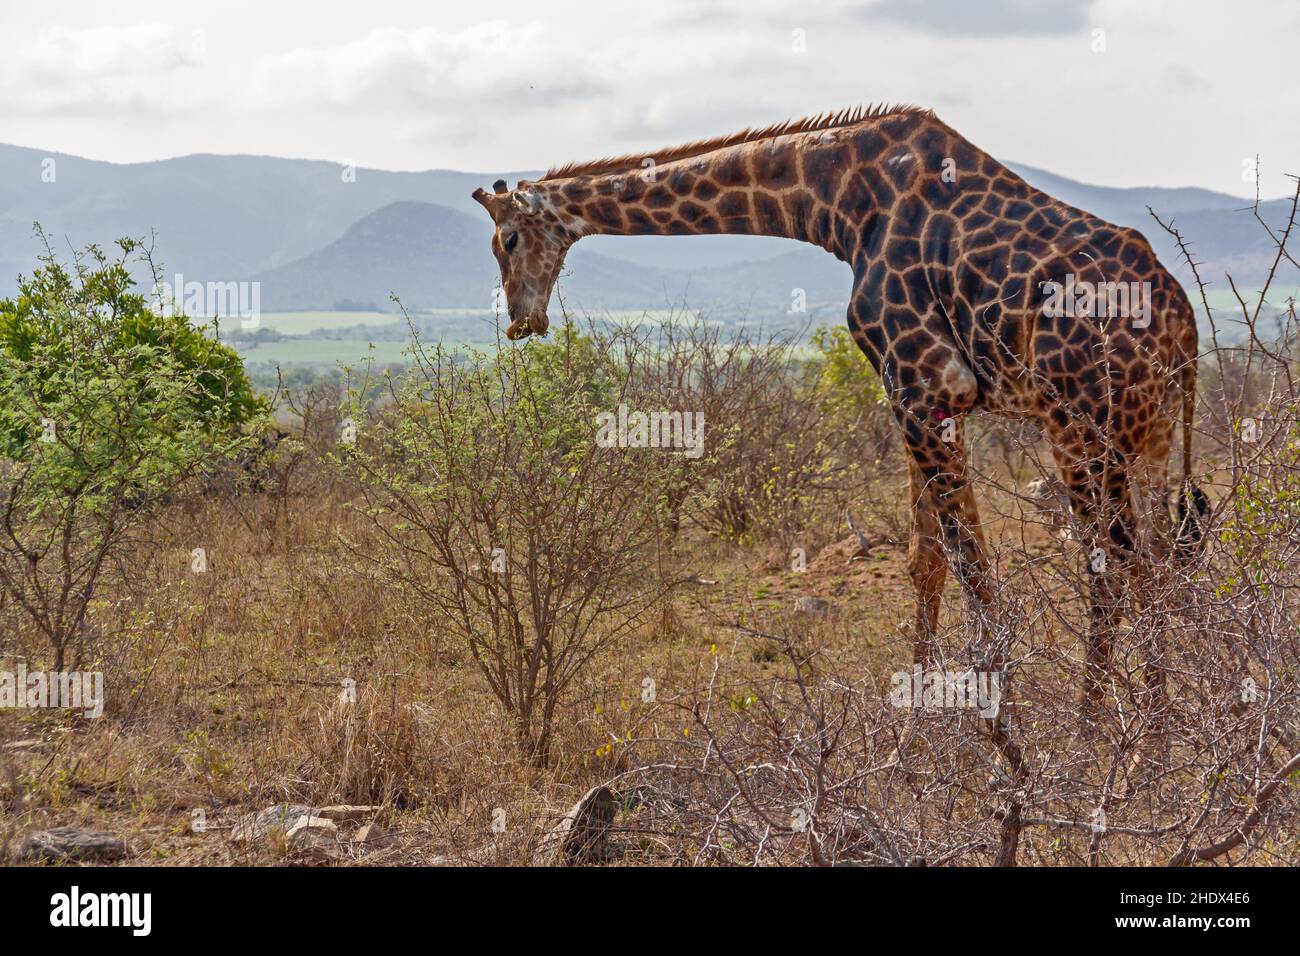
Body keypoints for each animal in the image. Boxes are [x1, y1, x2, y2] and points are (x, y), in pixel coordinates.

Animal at [472, 104, 1206, 703]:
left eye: (507, 239)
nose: (521, 322)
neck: (838, 200)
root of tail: (1184, 324)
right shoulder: (921, 393)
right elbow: (926, 561)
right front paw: (925, 736)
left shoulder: (924, 383)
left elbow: (972, 567)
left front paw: (1000, 744)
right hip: (1154, 434)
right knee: (1162, 565)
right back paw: (1158, 735)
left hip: (1083, 429)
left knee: (1116, 568)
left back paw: (1100, 743)